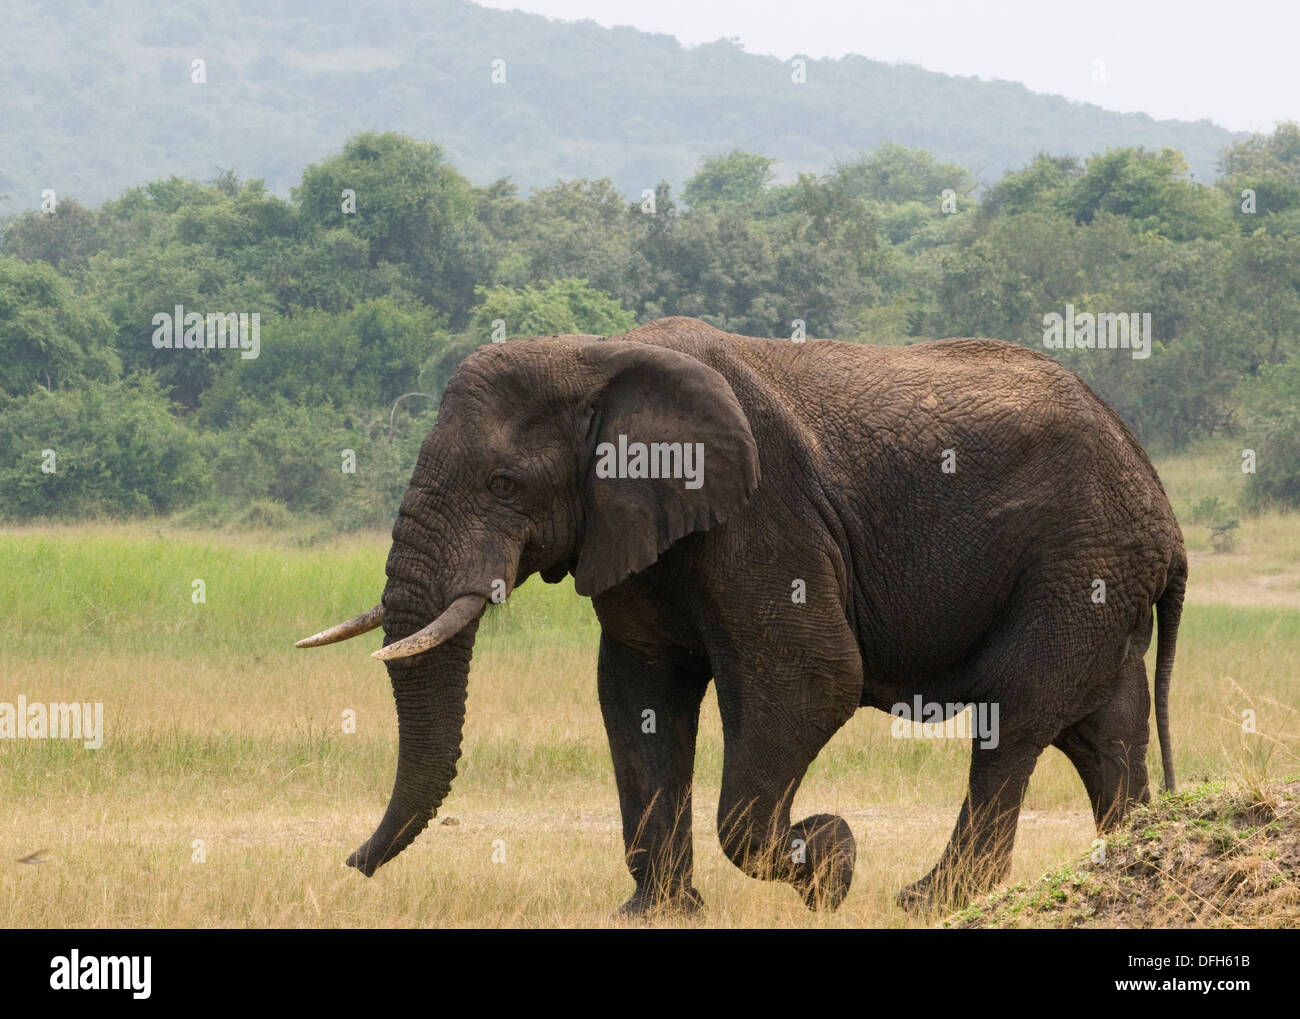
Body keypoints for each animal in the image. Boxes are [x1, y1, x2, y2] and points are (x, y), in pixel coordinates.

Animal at [297, 315, 1186, 915]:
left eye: (505, 484)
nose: (350, 863)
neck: (598, 353)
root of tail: (1162, 505)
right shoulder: (633, 528)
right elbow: (638, 695)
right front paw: (654, 914)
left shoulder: (763, 515)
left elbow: (811, 678)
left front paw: (828, 860)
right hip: (1098, 572)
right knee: (1104, 730)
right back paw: (1127, 862)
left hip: (1079, 557)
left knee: (1015, 713)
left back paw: (922, 900)